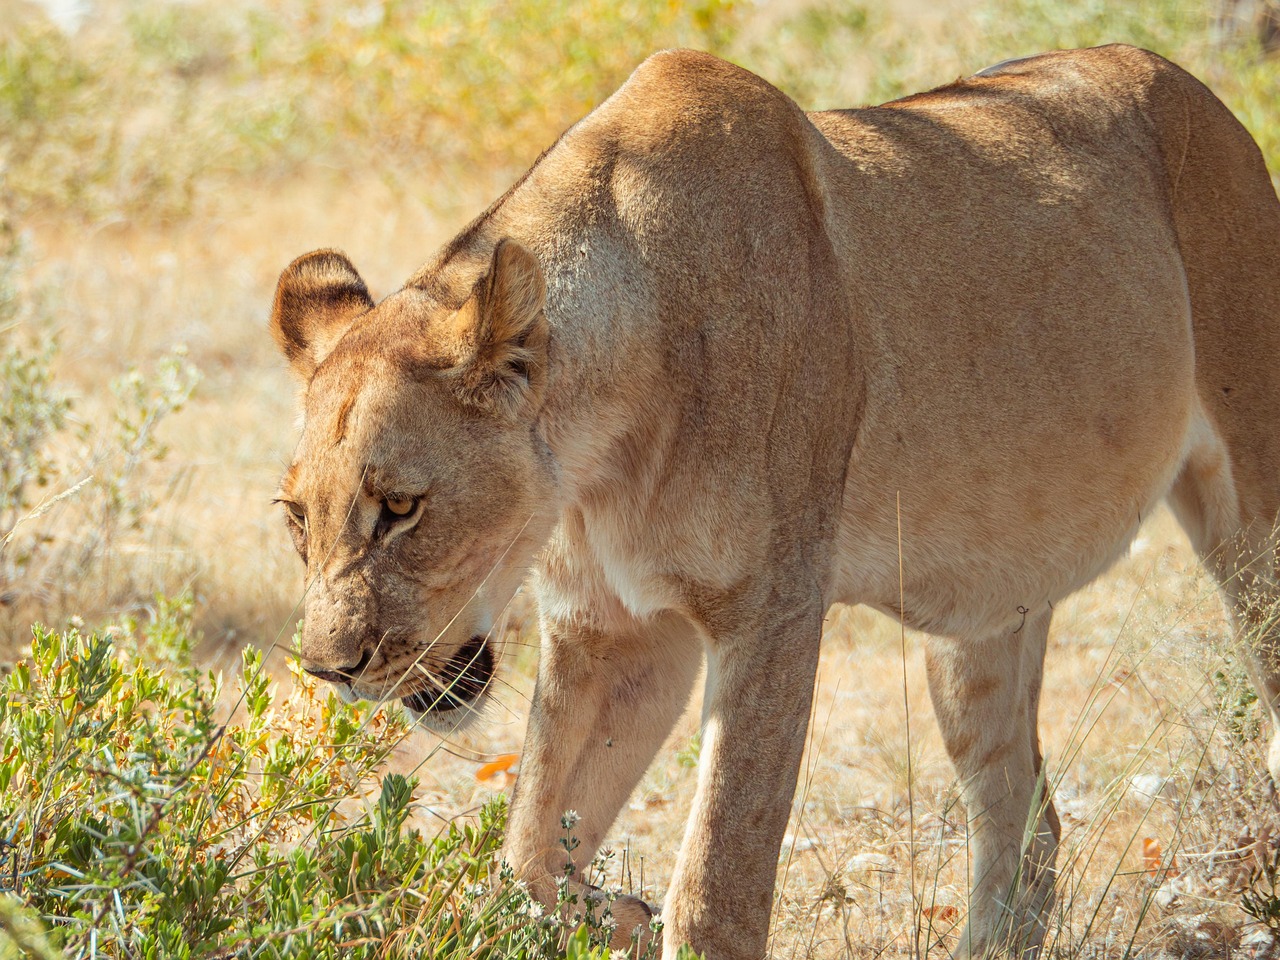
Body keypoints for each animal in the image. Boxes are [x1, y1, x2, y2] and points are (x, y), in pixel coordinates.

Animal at [269, 45, 1280, 959]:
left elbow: (718, 881)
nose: (328, 669)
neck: (595, 459)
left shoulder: (773, 612)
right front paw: (618, 913)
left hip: (1254, 521)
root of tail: (1193, 87)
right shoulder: (614, 629)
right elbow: (527, 854)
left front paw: (654, 910)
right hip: (982, 622)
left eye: (401, 507)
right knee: (1023, 821)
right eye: (296, 518)